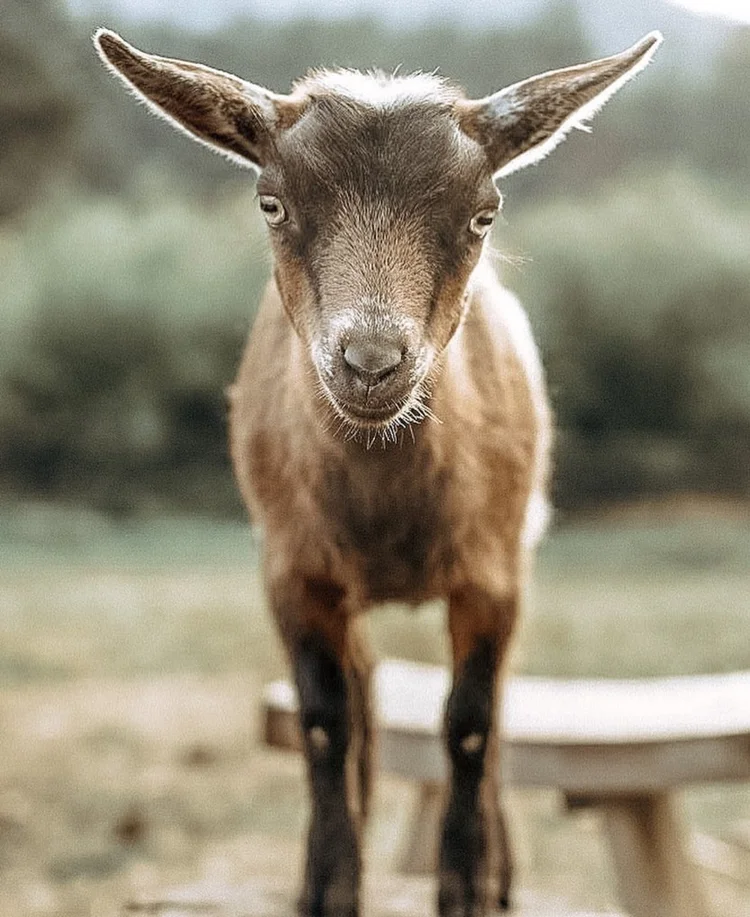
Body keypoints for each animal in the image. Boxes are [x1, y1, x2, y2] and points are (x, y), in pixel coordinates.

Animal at [95, 29, 661, 917]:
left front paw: (465, 884)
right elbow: (327, 722)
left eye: (483, 214)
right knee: (358, 699)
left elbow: (470, 723)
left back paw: (500, 870)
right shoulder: (293, 572)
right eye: (271, 203)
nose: (369, 362)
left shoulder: (493, 575)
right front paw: (330, 885)